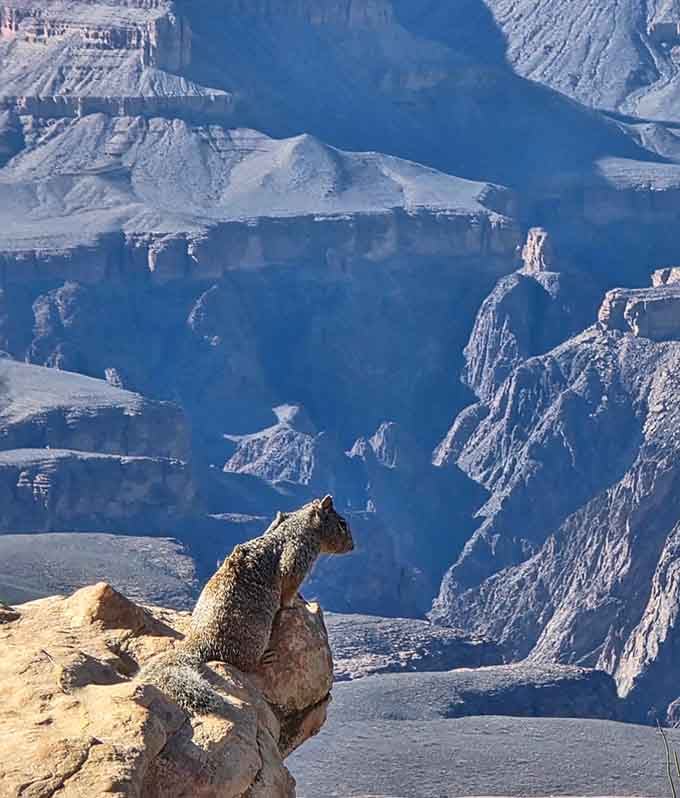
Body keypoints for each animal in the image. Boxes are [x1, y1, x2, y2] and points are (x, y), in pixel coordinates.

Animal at [141, 495, 354, 712]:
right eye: (342, 524)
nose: (353, 546)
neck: (298, 526)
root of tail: (198, 643)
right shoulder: (298, 558)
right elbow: (288, 589)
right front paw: (295, 603)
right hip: (255, 639)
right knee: (245, 665)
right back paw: (264, 660)